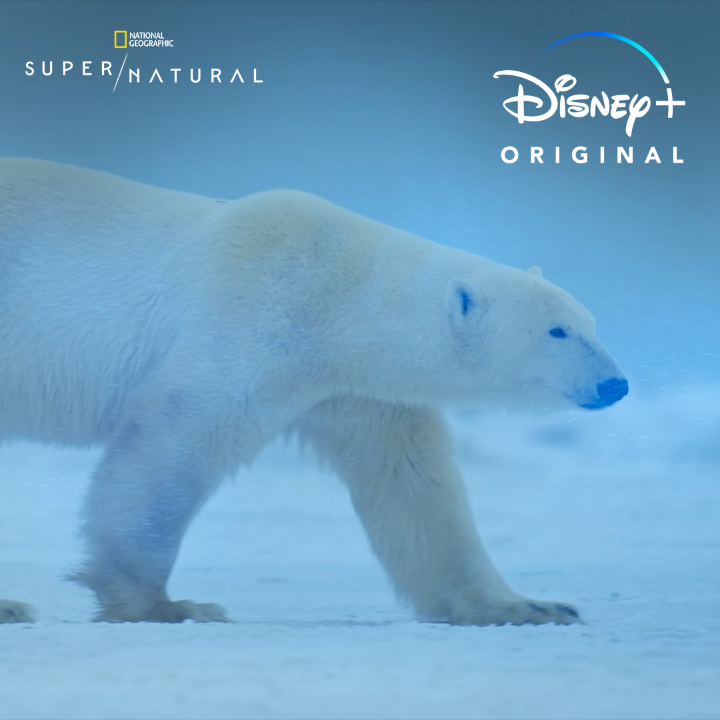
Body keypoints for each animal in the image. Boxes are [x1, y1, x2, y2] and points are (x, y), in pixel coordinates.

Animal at [0, 158, 628, 625]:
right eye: (557, 331)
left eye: (590, 322)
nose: (615, 383)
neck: (337, 289)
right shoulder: (246, 320)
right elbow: (171, 448)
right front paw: (164, 603)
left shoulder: (358, 389)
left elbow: (413, 482)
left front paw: (529, 606)